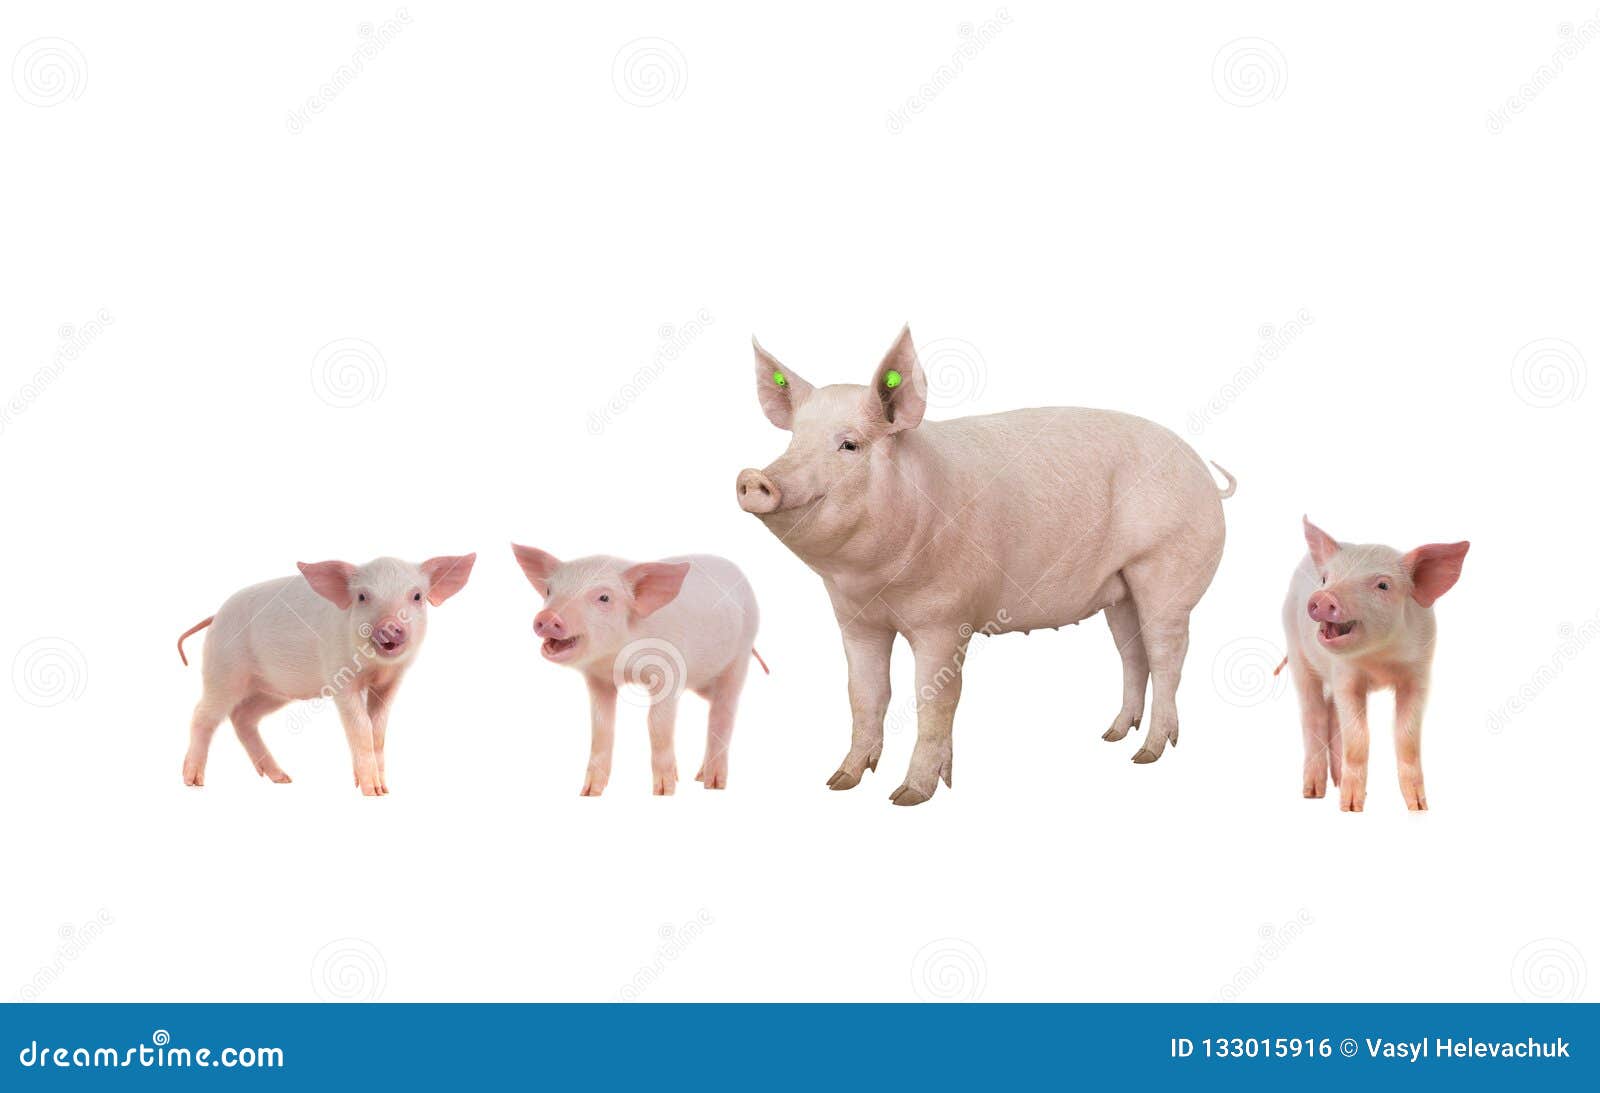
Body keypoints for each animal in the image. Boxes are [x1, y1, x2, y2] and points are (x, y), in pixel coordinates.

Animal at [177, 554, 476, 795]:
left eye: (416, 596)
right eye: (362, 597)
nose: (390, 625)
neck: (374, 668)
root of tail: (216, 616)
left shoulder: (392, 681)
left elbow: (377, 729)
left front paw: (385, 789)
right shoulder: (340, 677)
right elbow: (361, 726)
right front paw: (372, 792)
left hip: (272, 690)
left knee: (242, 717)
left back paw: (283, 779)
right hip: (223, 670)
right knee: (202, 714)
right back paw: (193, 781)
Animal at [510, 545, 765, 796]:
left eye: (604, 597)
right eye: (549, 590)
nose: (547, 616)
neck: (620, 662)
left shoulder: (670, 671)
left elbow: (656, 724)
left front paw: (664, 791)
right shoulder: (598, 679)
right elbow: (601, 726)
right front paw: (589, 792)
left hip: (741, 653)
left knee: (723, 713)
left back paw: (713, 784)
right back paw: (699, 776)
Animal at [735, 325, 1234, 804]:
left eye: (849, 445)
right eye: (794, 440)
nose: (753, 478)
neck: (875, 584)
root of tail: (1204, 474)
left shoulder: (945, 618)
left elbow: (933, 699)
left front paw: (909, 795)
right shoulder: (854, 619)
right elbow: (865, 695)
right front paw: (839, 782)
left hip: (1167, 570)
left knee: (1167, 657)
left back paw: (1147, 754)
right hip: (1121, 589)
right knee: (1133, 654)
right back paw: (1112, 735)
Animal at [1281, 518, 1468, 811]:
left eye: (1382, 586)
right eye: (1325, 578)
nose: (1323, 596)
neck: (1380, 659)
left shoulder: (1419, 672)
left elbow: (1407, 737)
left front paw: (1419, 807)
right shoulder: (1345, 673)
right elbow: (1358, 737)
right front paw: (1351, 808)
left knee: (1332, 711)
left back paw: (1337, 782)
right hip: (1295, 647)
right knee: (1313, 714)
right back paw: (1313, 793)